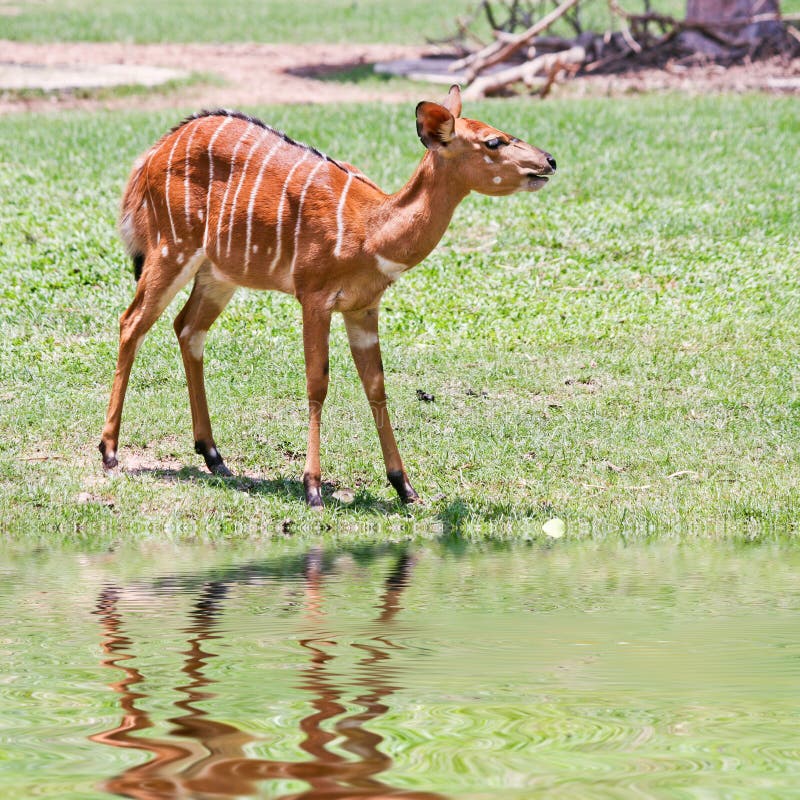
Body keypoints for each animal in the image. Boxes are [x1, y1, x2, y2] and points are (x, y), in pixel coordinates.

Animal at [99, 85, 556, 508]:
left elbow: (376, 386)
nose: (550, 160)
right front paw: (314, 488)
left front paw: (405, 487)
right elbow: (317, 383)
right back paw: (109, 451)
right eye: (494, 141)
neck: (372, 229)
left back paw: (214, 456)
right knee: (132, 322)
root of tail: (150, 155)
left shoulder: (363, 309)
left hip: (217, 274)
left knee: (188, 328)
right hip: (171, 249)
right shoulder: (315, 298)